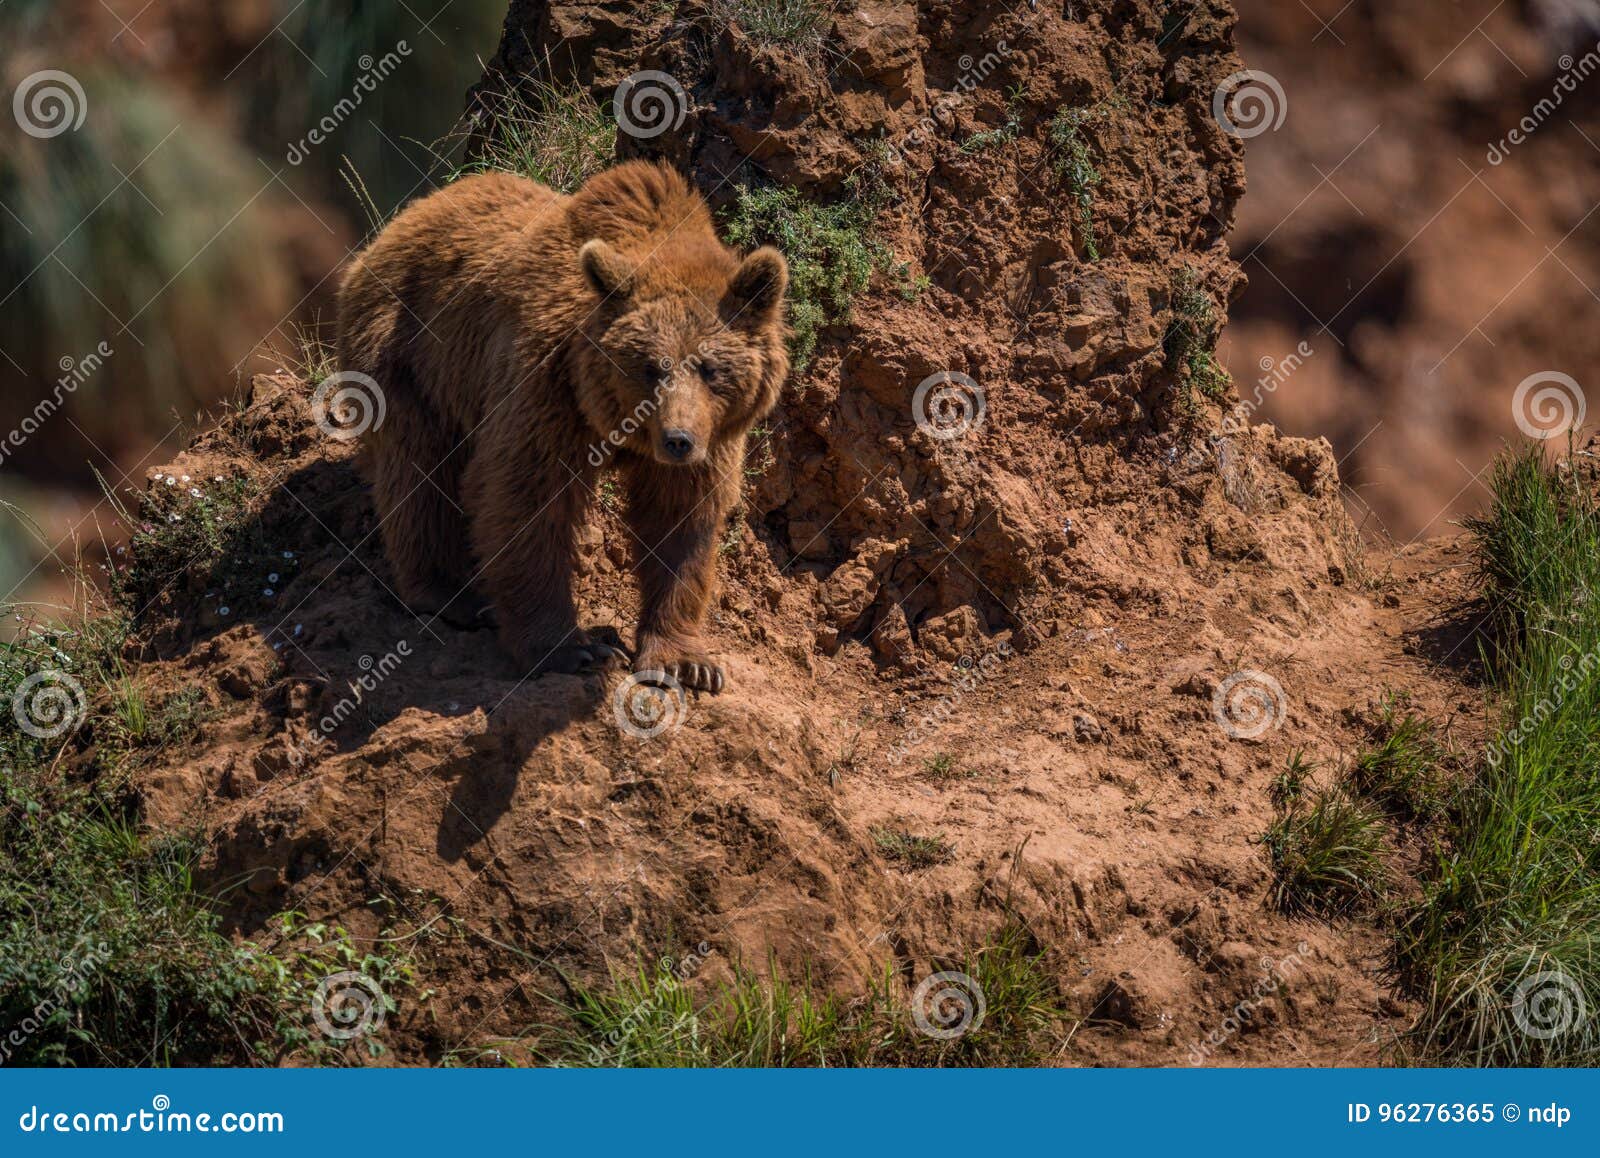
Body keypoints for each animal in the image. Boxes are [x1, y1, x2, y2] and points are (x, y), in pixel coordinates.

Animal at [335, 160, 789, 692]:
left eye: (710, 368)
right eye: (650, 367)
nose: (678, 440)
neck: (613, 421)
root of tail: (401, 220)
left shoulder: (710, 438)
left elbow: (679, 521)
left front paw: (686, 660)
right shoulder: (548, 385)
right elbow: (527, 496)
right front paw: (570, 648)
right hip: (410, 354)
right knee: (419, 472)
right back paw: (451, 593)